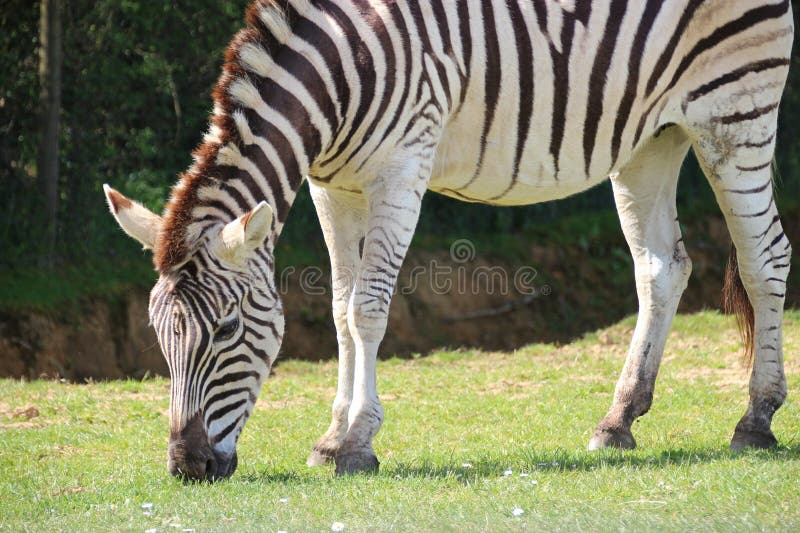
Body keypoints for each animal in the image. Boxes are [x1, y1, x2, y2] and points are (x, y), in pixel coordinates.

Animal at [103, 0, 794, 479]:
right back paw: (618, 421)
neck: (342, 72)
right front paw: (330, 438)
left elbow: (368, 310)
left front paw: (357, 443)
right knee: (661, 267)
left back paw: (756, 420)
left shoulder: (402, 170)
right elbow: (339, 311)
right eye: (158, 334)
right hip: (653, 136)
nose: (187, 468)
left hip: (736, 112)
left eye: (224, 331)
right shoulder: (334, 188)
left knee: (765, 258)